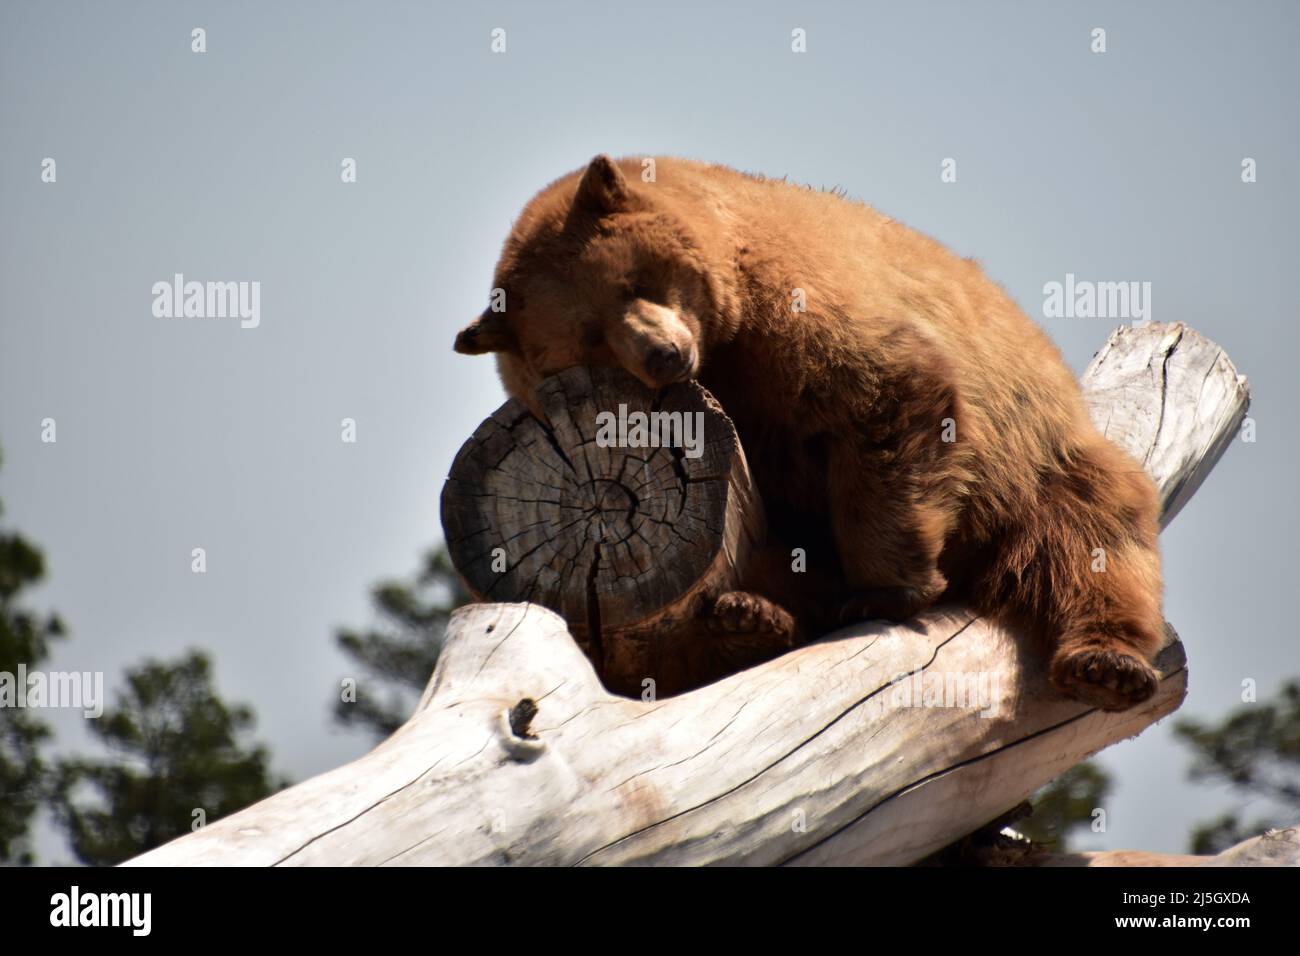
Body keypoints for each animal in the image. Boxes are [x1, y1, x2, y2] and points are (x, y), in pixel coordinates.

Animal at [454, 155, 1165, 712]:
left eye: (635, 281)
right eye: (590, 336)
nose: (663, 355)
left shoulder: (790, 305)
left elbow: (885, 394)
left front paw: (884, 588)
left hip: (1037, 459)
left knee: (1090, 538)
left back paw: (1106, 663)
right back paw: (748, 620)